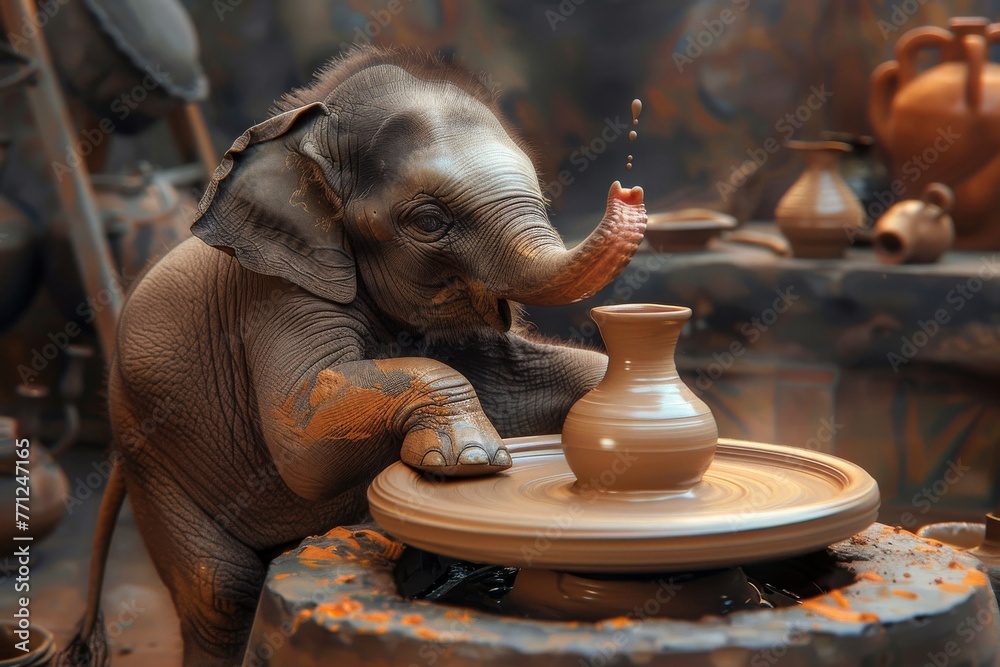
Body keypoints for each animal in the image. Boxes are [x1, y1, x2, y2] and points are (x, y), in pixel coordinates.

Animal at [60, 47, 647, 667]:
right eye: (429, 222)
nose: (628, 190)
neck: (304, 128)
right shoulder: (278, 290)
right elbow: (301, 441)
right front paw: (472, 463)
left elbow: (519, 379)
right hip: (153, 459)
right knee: (220, 590)